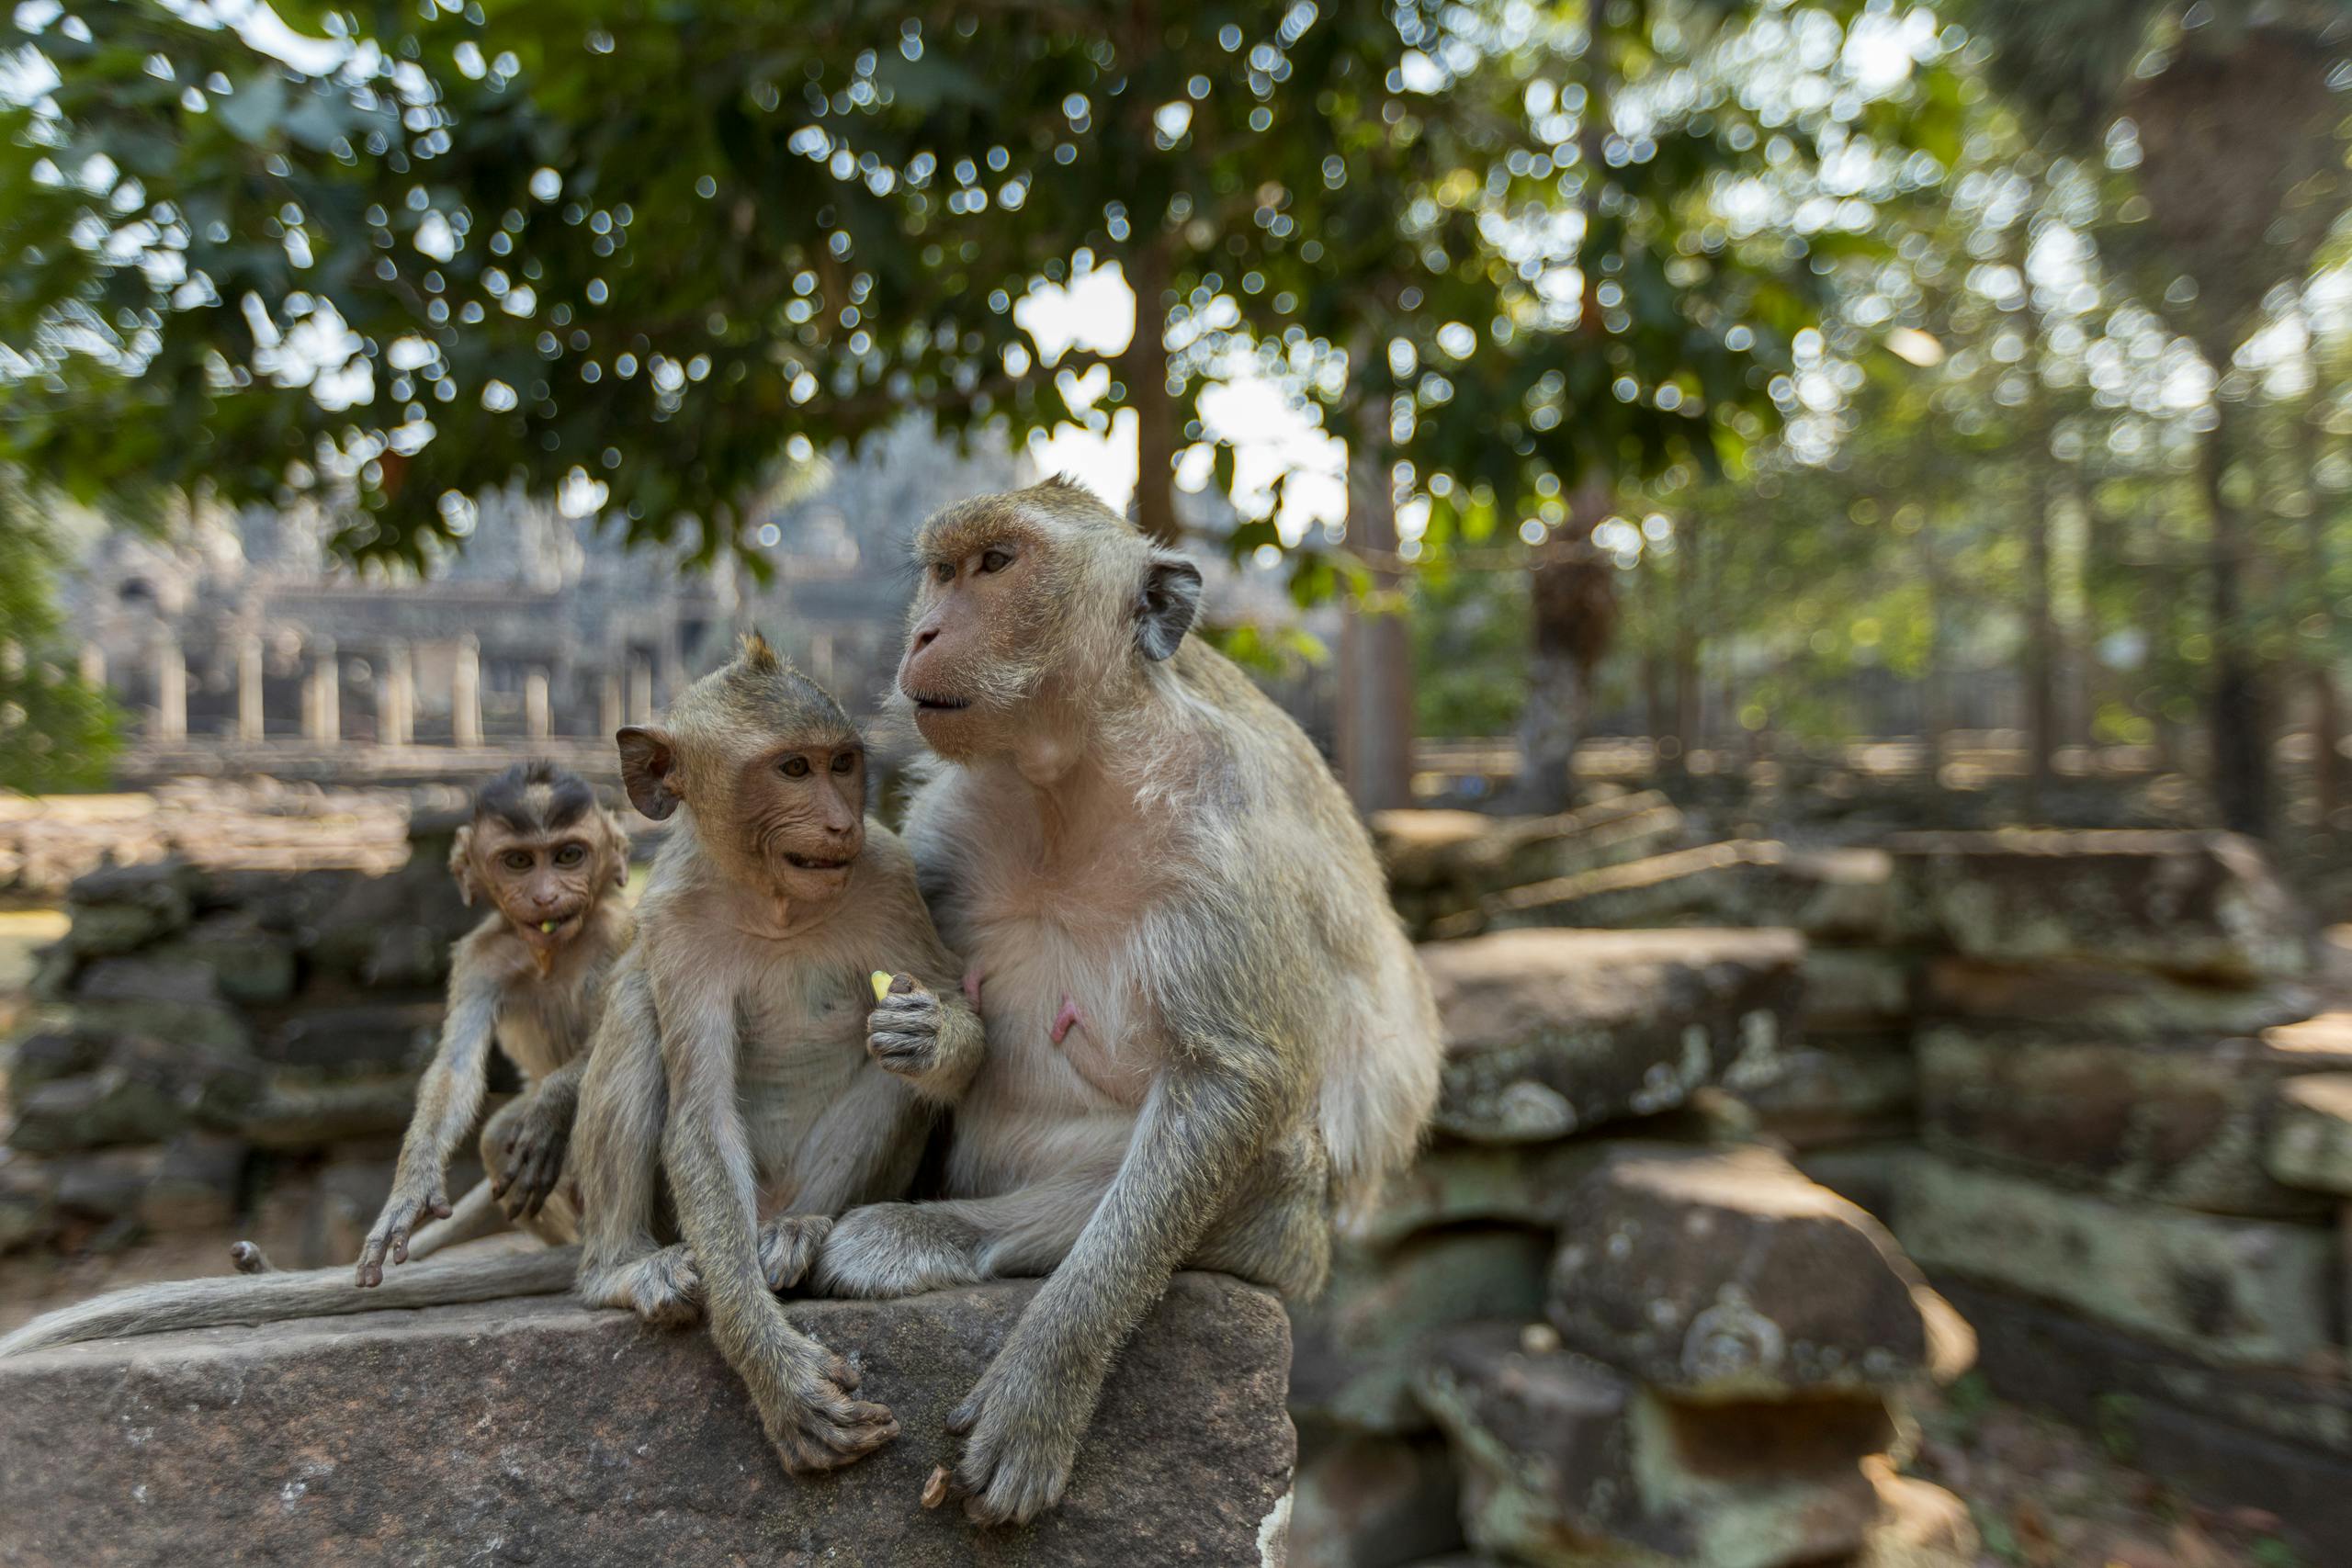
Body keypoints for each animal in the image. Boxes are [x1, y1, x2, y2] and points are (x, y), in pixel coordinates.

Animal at [0, 764, 633, 1356]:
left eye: (569, 855)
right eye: (519, 862)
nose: (546, 898)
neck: (553, 951)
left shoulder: (618, 934)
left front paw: (549, 1108)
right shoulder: (482, 953)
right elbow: (454, 1068)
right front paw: (410, 1191)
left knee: (517, 1129)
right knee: (497, 1136)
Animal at [564, 634, 987, 1475]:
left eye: (842, 763)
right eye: (793, 768)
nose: (839, 821)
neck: (776, 904)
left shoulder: (888, 873)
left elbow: (955, 1017)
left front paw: (929, 1034)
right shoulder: (673, 916)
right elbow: (700, 1119)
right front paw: (778, 1374)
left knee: (891, 1080)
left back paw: (800, 1230)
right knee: (635, 1005)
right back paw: (621, 1267)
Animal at [808, 477, 1444, 1524]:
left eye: (997, 565)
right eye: (941, 571)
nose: (925, 632)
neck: (1066, 786)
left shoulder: (1218, 833)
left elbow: (1233, 1083)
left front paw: (1041, 1388)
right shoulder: (937, 829)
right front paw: (924, 1033)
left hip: (1292, 1242)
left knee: (1260, 1165)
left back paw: (943, 1234)